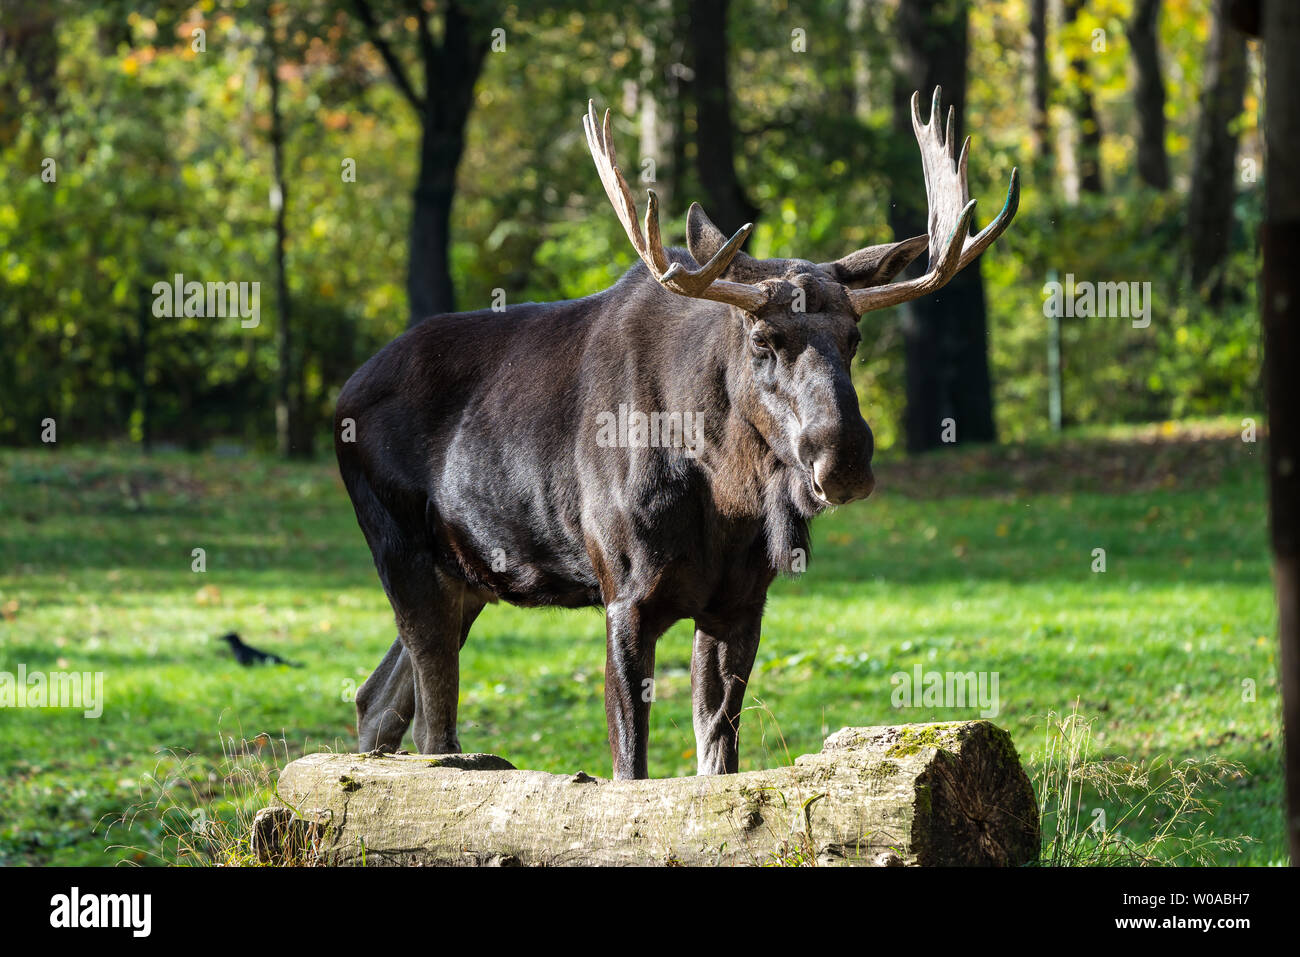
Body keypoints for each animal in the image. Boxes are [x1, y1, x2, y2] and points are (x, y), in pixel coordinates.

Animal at [335, 89, 1018, 780]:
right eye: (763, 339)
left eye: (854, 338)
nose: (843, 459)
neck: (724, 495)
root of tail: (343, 394)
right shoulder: (624, 597)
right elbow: (629, 765)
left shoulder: (739, 603)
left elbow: (716, 757)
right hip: (401, 552)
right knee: (433, 724)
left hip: (465, 577)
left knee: (380, 701)